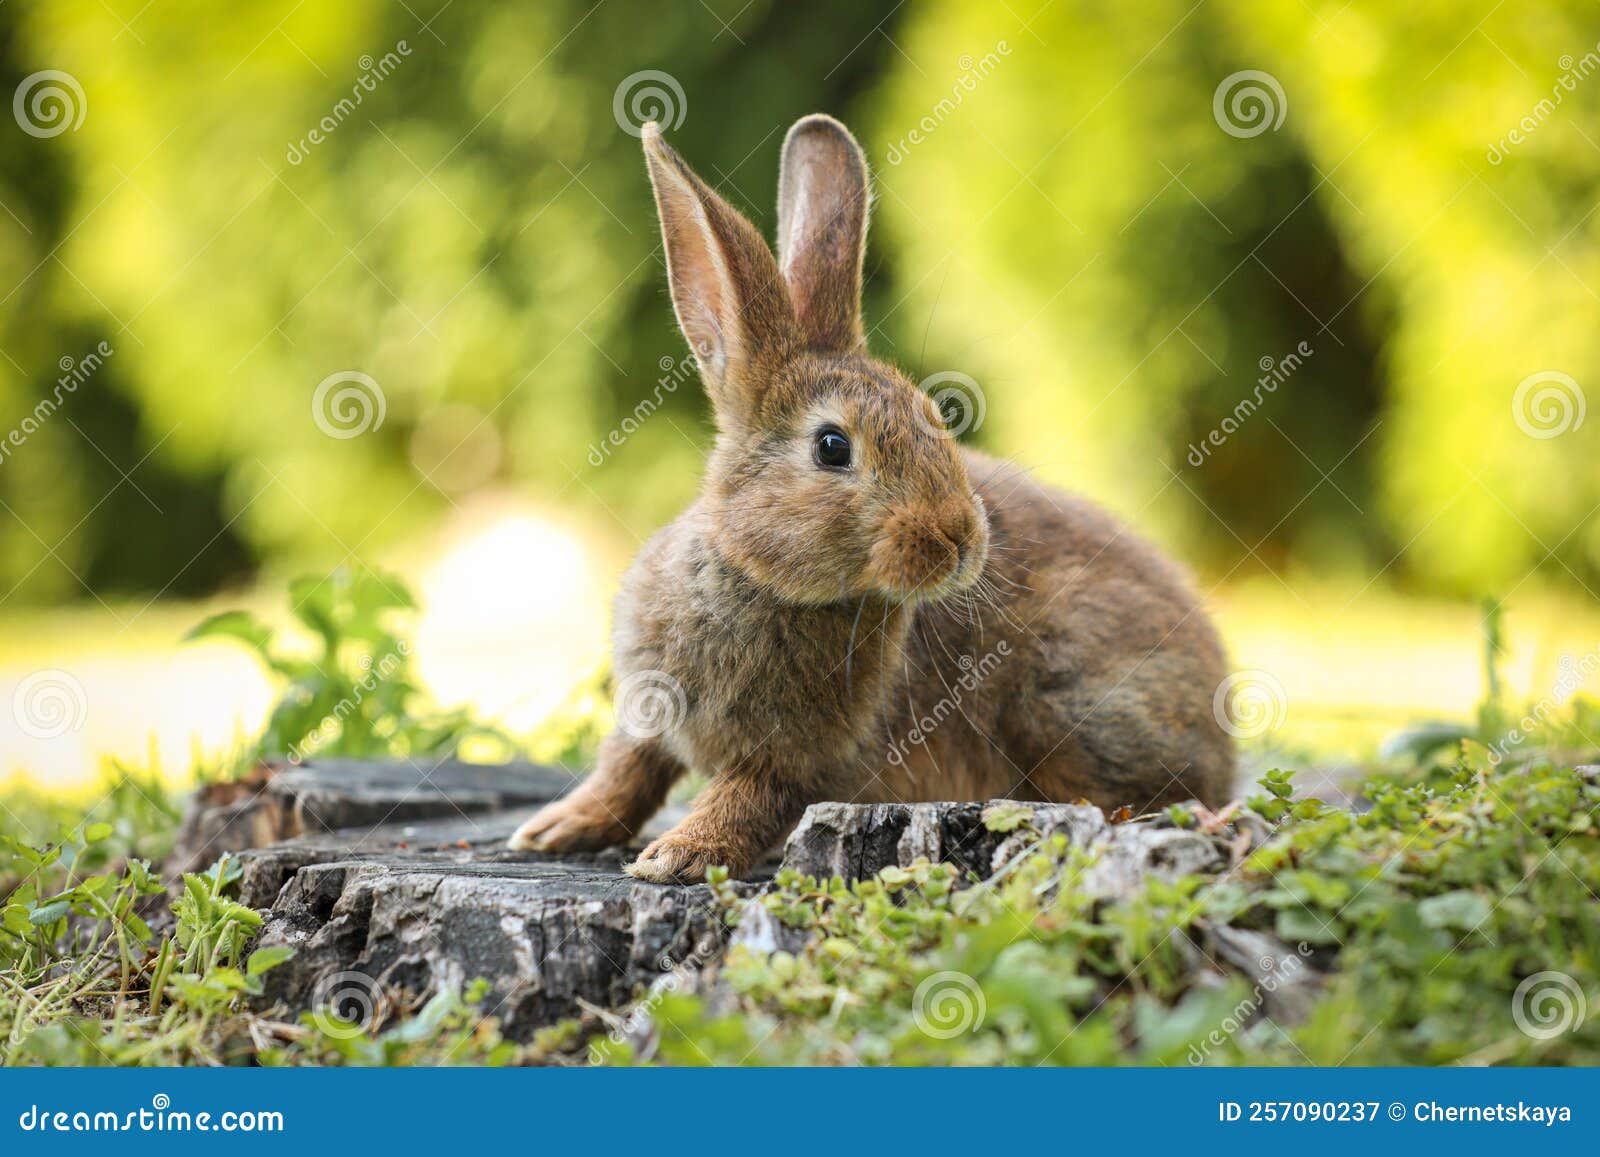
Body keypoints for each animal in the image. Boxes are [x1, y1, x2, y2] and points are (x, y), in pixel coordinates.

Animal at [508, 114, 1233, 882]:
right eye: (832, 447)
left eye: (935, 415)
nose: (960, 539)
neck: (761, 579)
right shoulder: (648, 714)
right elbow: (626, 770)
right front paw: (556, 829)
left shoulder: (802, 759)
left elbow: (743, 800)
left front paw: (676, 855)